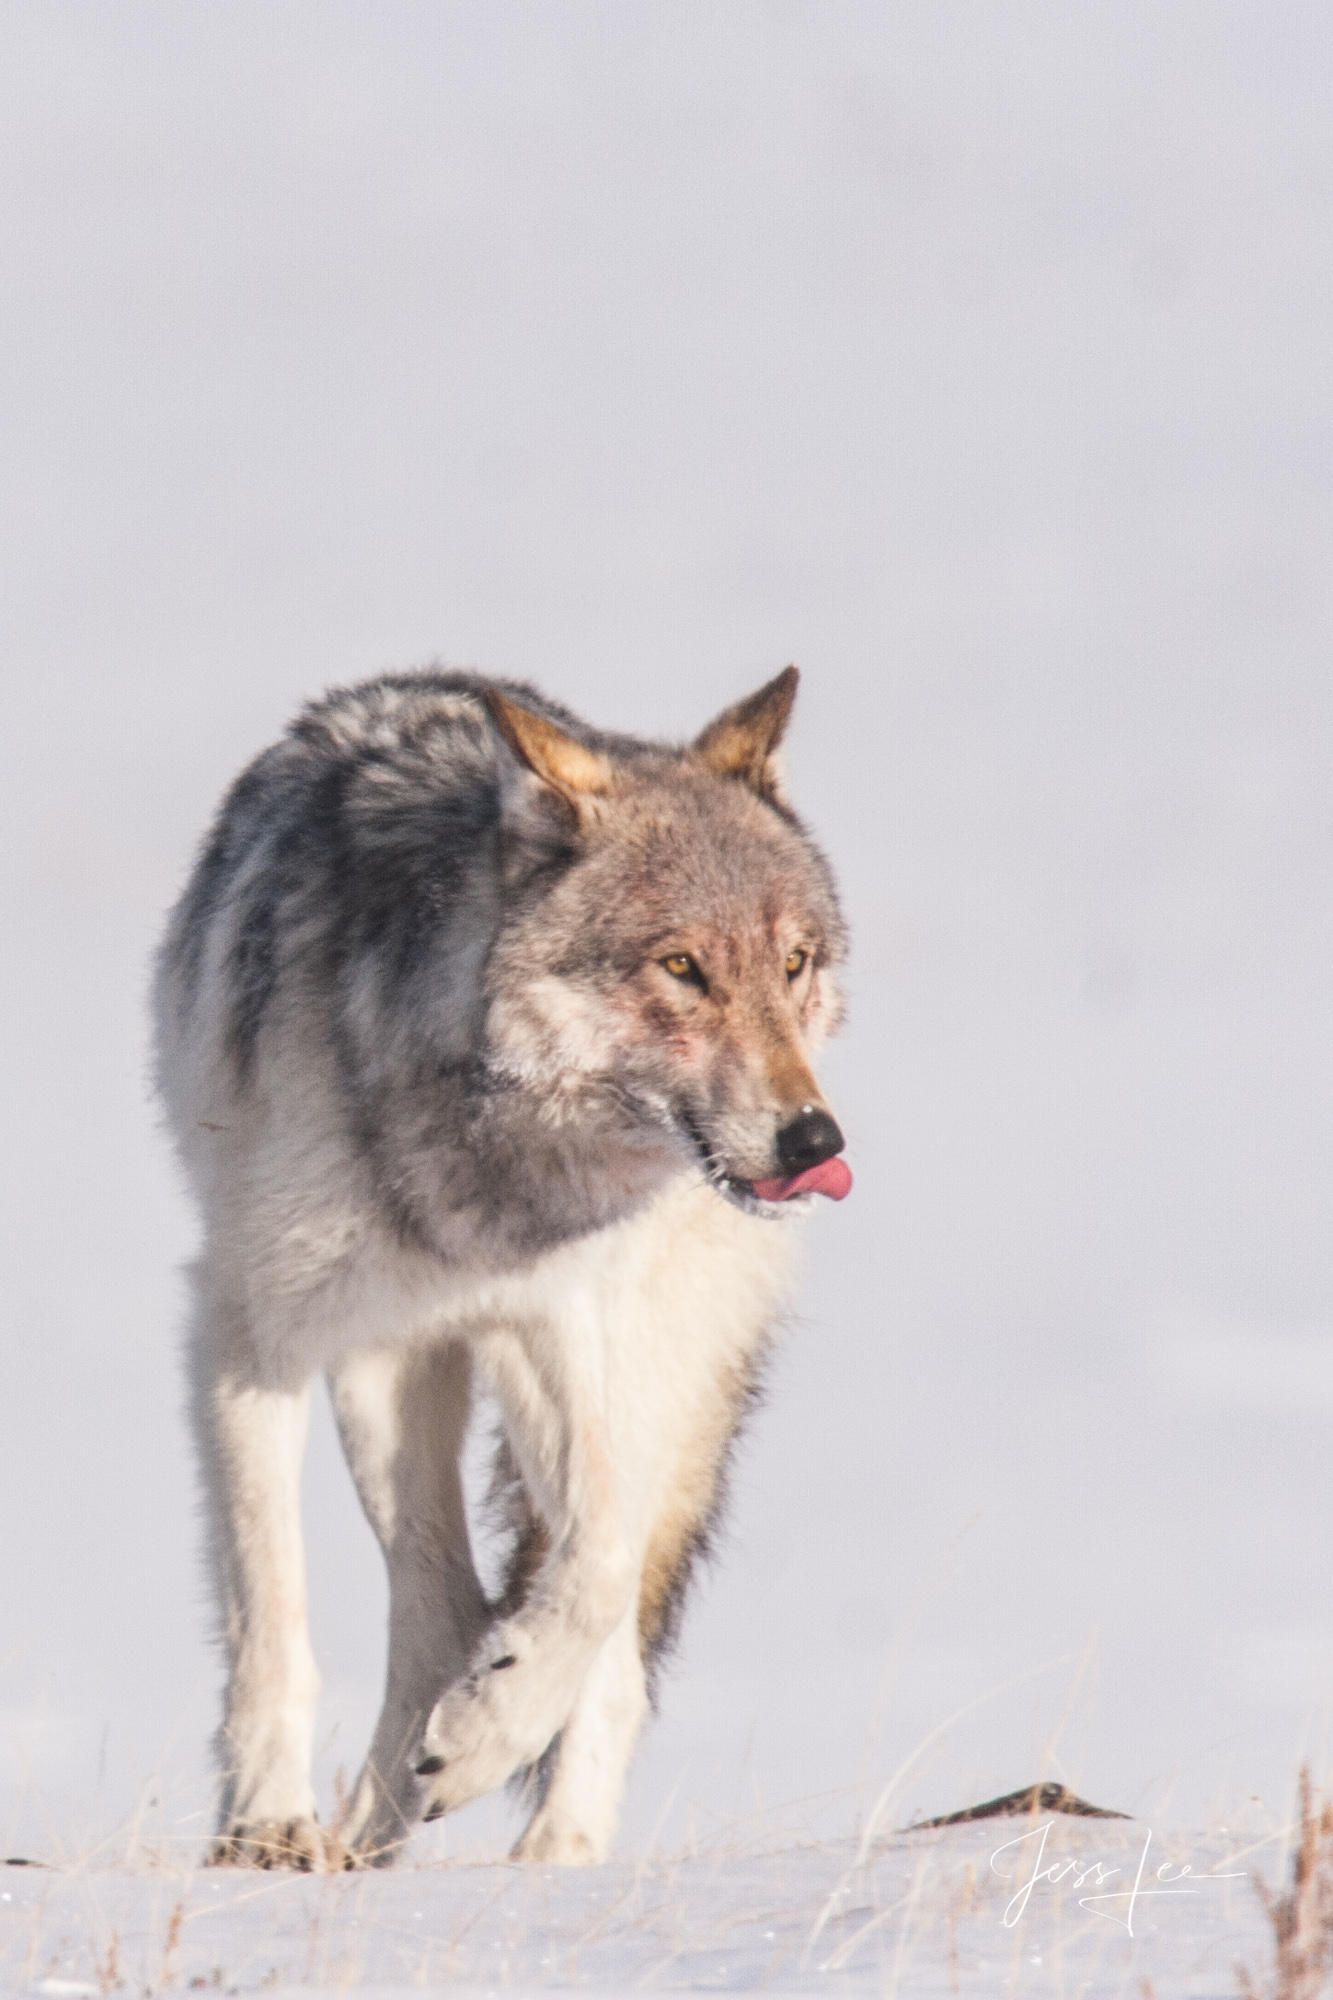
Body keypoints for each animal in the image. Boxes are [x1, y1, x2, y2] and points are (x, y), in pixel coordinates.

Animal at [153, 664, 850, 1870]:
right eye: (682, 967)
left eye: (792, 963)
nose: (814, 1140)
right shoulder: (250, 1334)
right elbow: (270, 1607)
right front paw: (267, 1827)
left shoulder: (551, 1318)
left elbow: (595, 1563)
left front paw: (487, 1736)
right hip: (384, 1377)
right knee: (442, 1608)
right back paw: (379, 1831)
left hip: (642, 1363)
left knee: (592, 1627)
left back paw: (548, 1855)